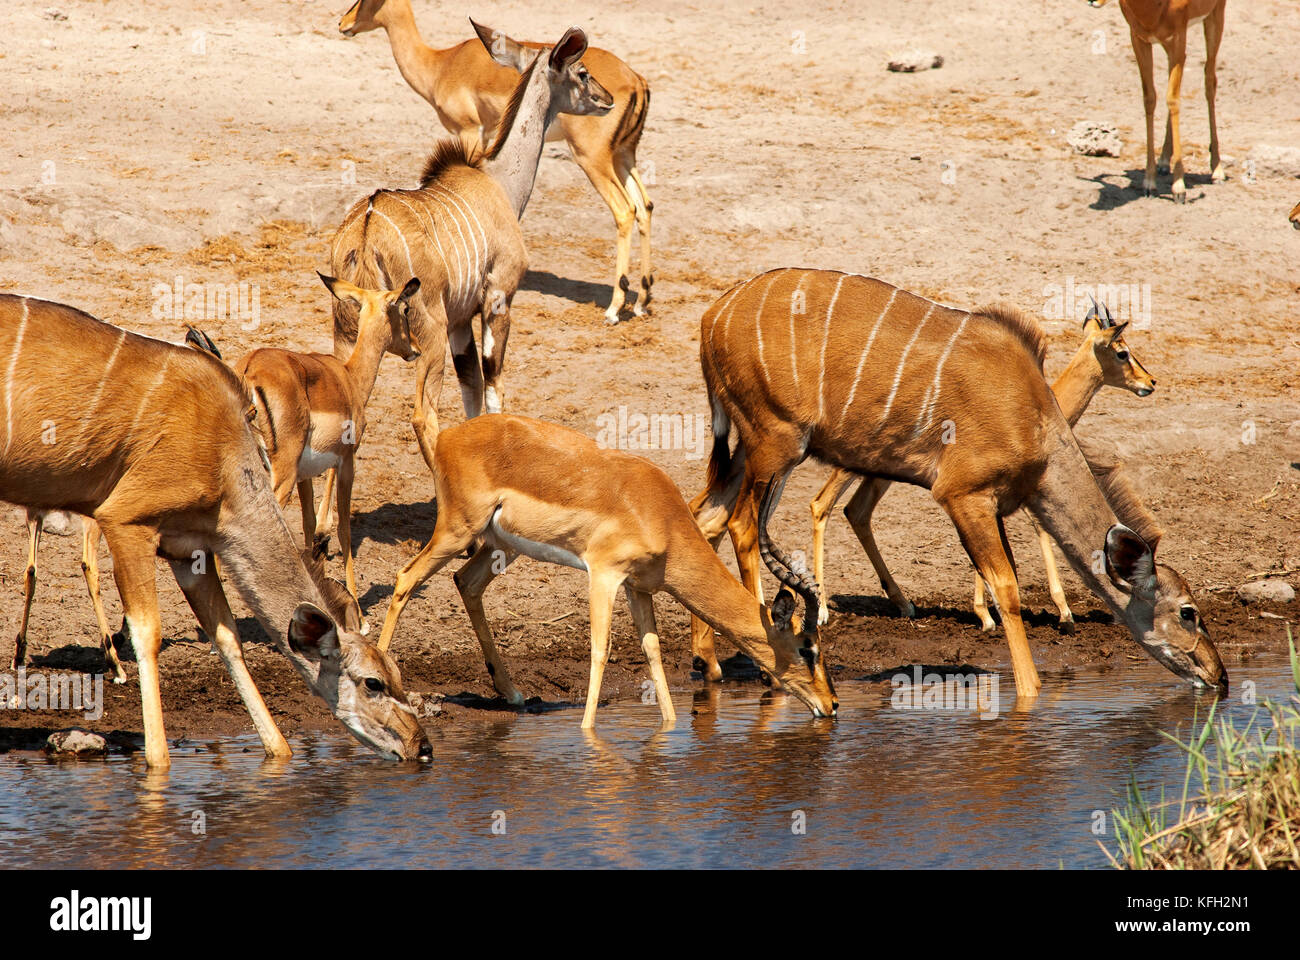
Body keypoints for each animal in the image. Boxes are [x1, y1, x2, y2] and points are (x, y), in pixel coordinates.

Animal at [235, 274, 421, 612]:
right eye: (405, 309)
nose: (415, 346)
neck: (349, 378)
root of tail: (248, 370)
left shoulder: (305, 474)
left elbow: (309, 526)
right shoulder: (346, 461)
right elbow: (343, 529)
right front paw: (358, 610)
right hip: (280, 473)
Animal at [339, 2, 654, 322]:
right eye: (582, 72)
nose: (343, 23)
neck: (442, 64)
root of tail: (638, 80)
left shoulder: (470, 131)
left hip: (598, 158)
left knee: (629, 208)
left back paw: (619, 306)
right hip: (619, 157)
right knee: (642, 206)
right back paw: (635, 302)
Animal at [373, 414, 838, 728]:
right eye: (806, 648)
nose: (832, 705)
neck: (660, 514)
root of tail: (447, 437)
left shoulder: (640, 587)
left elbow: (652, 649)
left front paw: (669, 724)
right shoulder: (603, 575)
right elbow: (599, 649)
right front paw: (587, 732)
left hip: (499, 546)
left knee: (466, 583)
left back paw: (514, 695)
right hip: (456, 532)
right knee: (406, 578)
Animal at [805, 300, 1157, 632]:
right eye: (1123, 352)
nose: (1150, 382)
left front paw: (990, 612)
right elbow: (1037, 534)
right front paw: (1050, 613)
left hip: (881, 476)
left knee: (856, 511)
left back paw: (903, 603)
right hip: (854, 470)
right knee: (822, 504)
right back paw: (822, 610)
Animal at [1088, 0, 1228, 202]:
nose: (1092, 1)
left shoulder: (1178, 37)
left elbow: (1173, 100)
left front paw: (1179, 187)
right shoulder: (1140, 40)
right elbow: (1150, 98)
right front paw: (1149, 183)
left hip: (1215, 16)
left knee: (1209, 80)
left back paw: (1217, 171)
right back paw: (1163, 162)